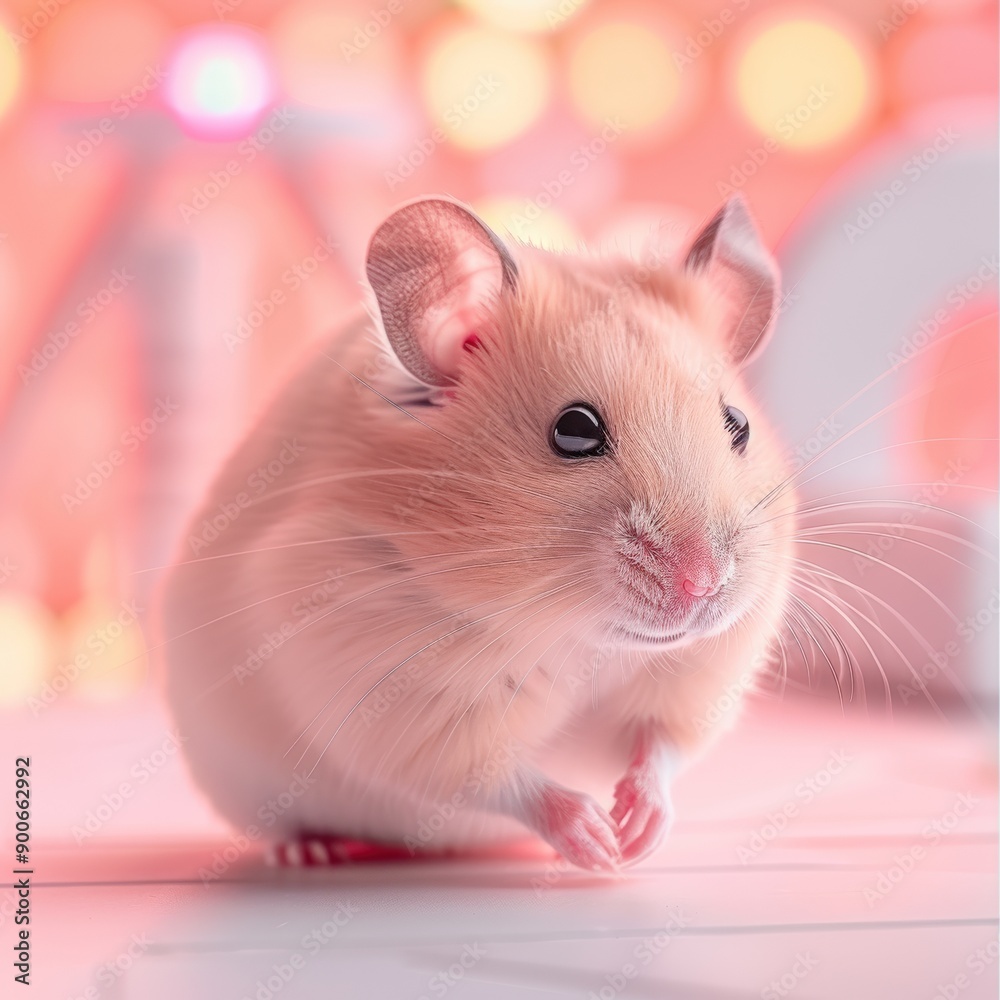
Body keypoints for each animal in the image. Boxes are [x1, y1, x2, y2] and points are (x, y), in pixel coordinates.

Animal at [158, 195, 794, 871]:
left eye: (738, 424)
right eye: (574, 431)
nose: (702, 584)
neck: (577, 637)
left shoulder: (700, 681)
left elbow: (661, 747)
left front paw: (639, 834)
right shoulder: (396, 697)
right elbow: (500, 779)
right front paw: (598, 844)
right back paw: (311, 852)